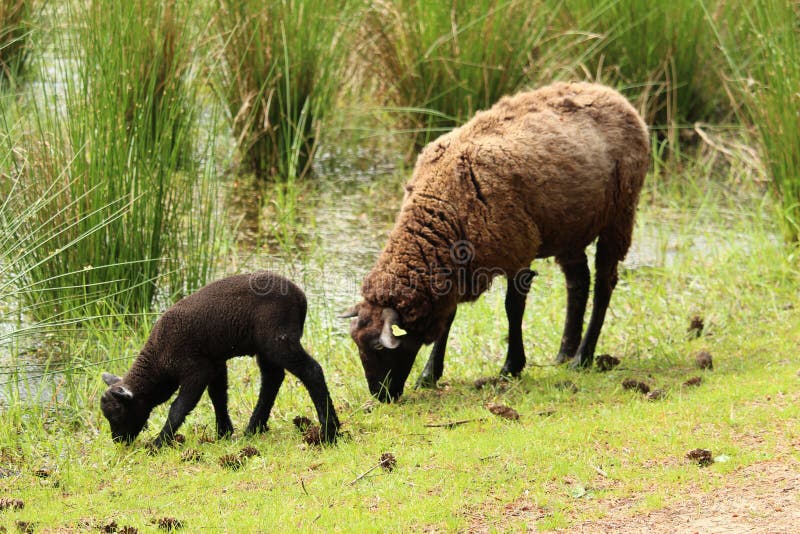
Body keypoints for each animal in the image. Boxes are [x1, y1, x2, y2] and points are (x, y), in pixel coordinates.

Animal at [100, 272, 340, 446]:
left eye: (117, 414)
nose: (118, 442)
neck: (158, 361)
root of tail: (301, 297)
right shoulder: (214, 363)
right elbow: (218, 395)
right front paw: (223, 432)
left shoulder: (196, 370)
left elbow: (179, 407)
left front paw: (159, 443)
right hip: (266, 345)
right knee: (272, 379)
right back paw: (253, 428)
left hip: (279, 339)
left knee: (311, 371)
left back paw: (330, 431)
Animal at [342, 82, 649, 402]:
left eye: (379, 348)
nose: (381, 395)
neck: (443, 202)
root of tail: (611, 93)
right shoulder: (456, 269)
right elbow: (448, 318)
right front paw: (428, 375)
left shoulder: (518, 252)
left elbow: (512, 308)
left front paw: (512, 366)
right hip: (570, 226)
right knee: (578, 281)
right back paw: (565, 352)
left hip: (620, 213)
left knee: (604, 283)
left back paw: (583, 357)